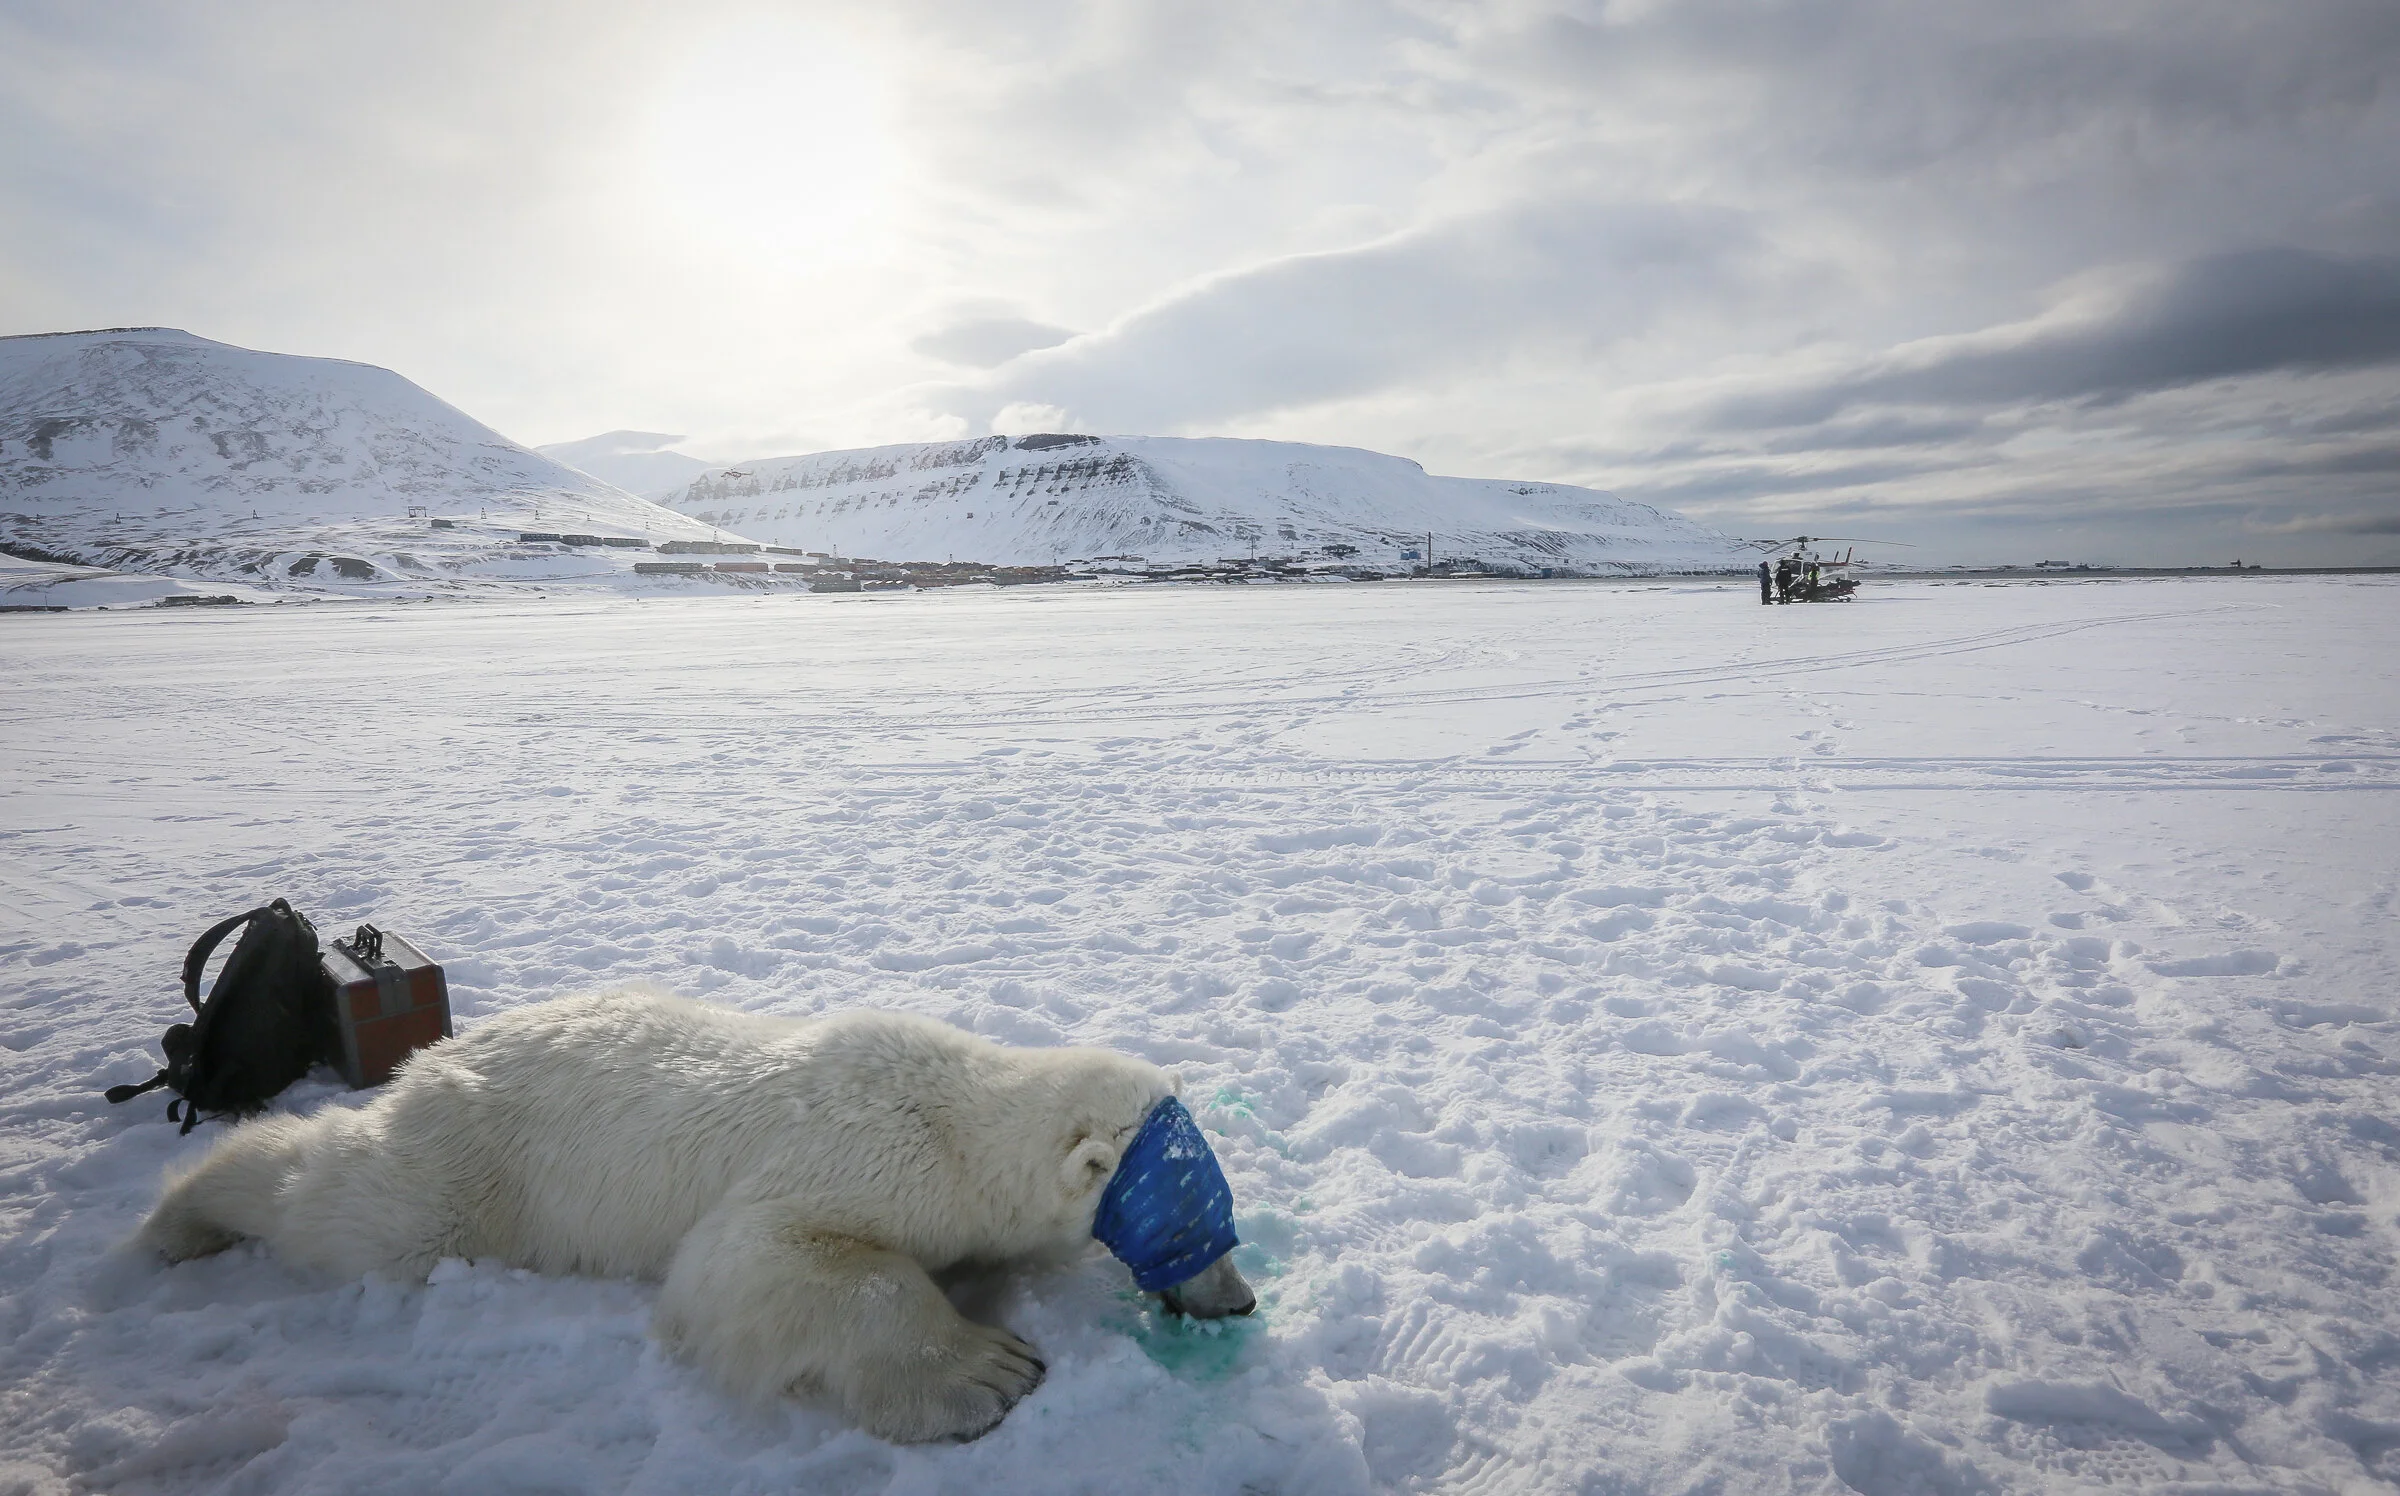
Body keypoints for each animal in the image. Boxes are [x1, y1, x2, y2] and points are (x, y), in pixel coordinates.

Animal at [133, 986, 1255, 1444]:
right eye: (1192, 1224)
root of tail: (439, 1055)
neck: (954, 1121)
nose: (1239, 1299)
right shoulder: (852, 1154)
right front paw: (985, 1371)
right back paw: (181, 1216)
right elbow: (748, 1261)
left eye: (1220, 1213)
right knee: (357, 1208)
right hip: (479, 1164)